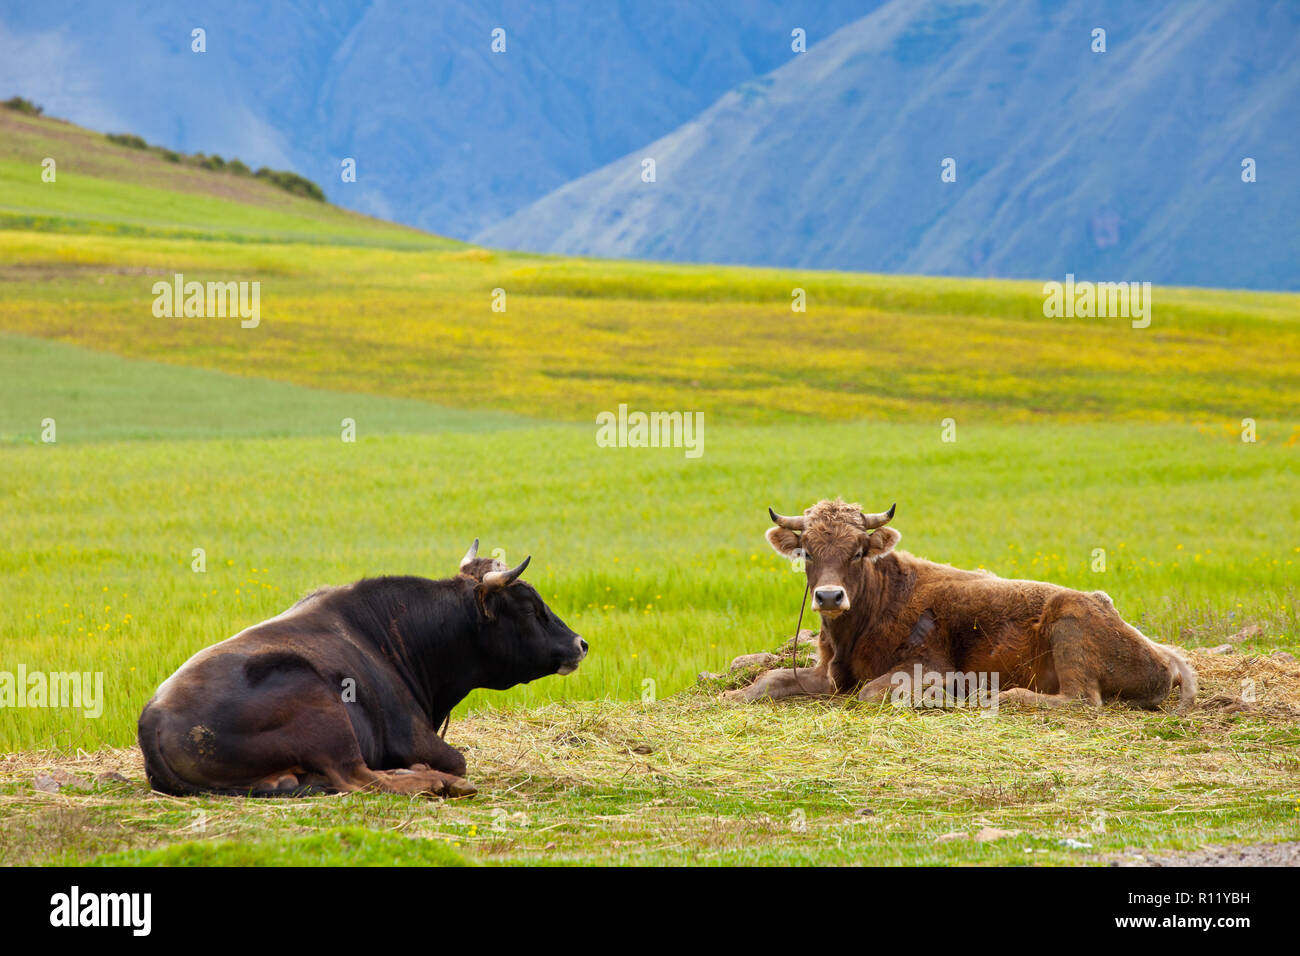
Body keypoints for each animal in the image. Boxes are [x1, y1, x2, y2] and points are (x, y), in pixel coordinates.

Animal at [138, 541, 587, 798]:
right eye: (529, 608)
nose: (580, 644)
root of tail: (152, 717)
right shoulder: (411, 736)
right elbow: (457, 759)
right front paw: (438, 773)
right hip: (324, 712)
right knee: (359, 778)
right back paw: (436, 782)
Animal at [724, 499, 1196, 711]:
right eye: (806, 551)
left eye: (858, 550)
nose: (828, 596)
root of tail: (1163, 657)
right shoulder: (828, 673)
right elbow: (770, 679)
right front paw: (733, 694)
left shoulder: (926, 665)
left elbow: (873, 692)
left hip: (1068, 619)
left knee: (1079, 699)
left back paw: (996, 695)